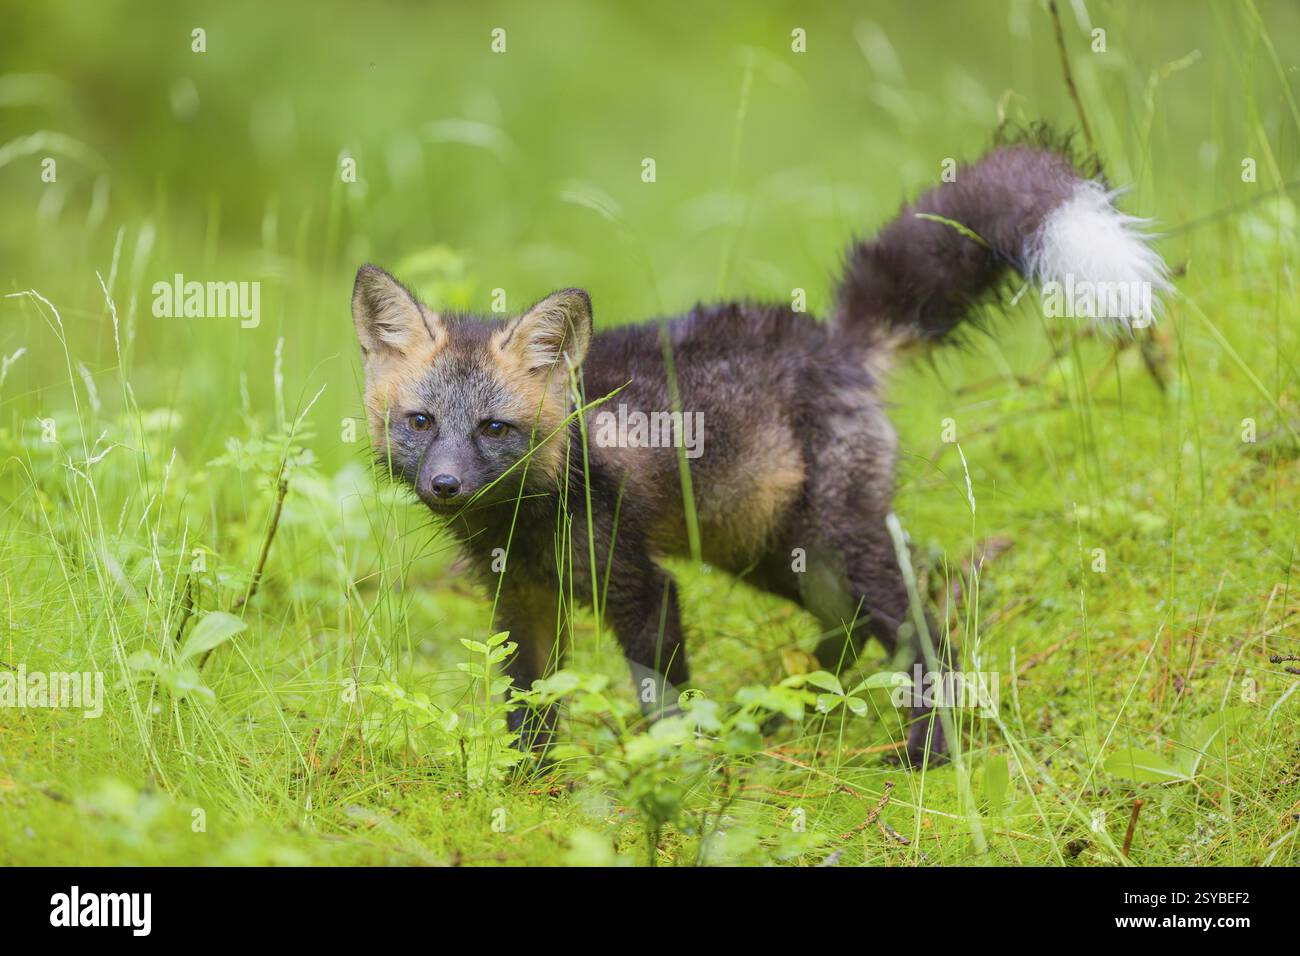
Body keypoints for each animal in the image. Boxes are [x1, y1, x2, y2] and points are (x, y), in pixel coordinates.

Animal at [350, 130, 1169, 767]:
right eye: (421, 422)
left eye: (495, 429)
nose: (446, 485)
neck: (527, 519)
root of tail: (833, 336)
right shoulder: (519, 600)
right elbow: (529, 710)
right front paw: (528, 790)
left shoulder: (643, 588)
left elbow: (662, 704)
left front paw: (671, 780)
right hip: (769, 551)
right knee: (858, 627)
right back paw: (788, 714)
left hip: (831, 542)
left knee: (925, 628)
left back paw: (925, 752)